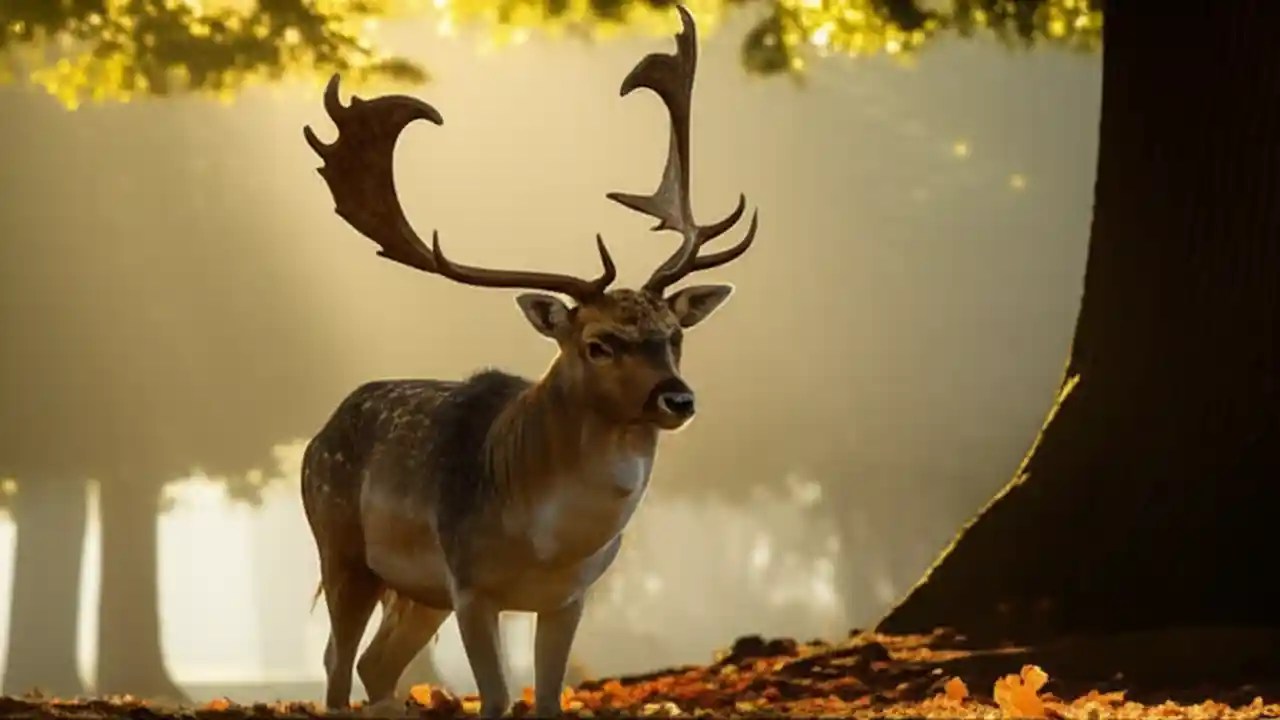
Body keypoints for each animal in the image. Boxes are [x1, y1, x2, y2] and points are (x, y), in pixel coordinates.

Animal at [299, 6, 757, 717]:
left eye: (675, 334)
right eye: (597, 343)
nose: (677, 398)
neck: (546, 545)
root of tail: (317, 434)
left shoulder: (570, 597)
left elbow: (547, 699)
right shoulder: (469, 584)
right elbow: (496, 700)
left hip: (417, 591)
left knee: (377, 665)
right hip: (340, 543)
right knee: (335, 667)